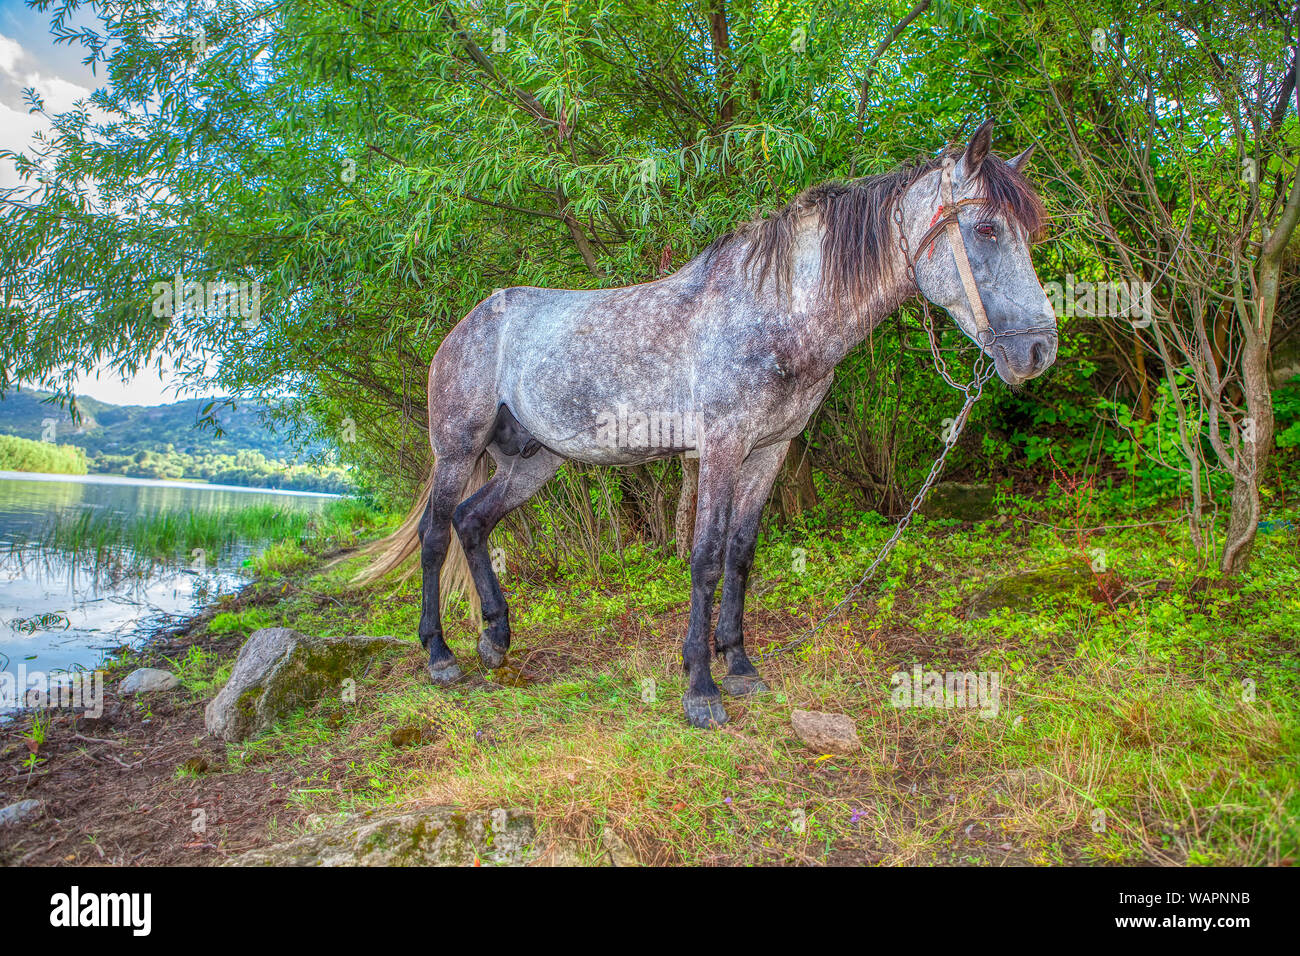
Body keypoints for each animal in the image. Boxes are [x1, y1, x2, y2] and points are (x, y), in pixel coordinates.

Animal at [359, 119, 1057, 729]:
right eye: (987, 229)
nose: (1038, 352)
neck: (776, 313)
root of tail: (469, 325)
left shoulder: (769, 451)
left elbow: (741, 554)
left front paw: (740, 666)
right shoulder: (720, 449)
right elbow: (704, 558)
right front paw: (700, 689)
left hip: (532, 462)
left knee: (474, 522)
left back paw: (496, 639)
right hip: (457, 450)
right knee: (436, 535)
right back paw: (441, 656)